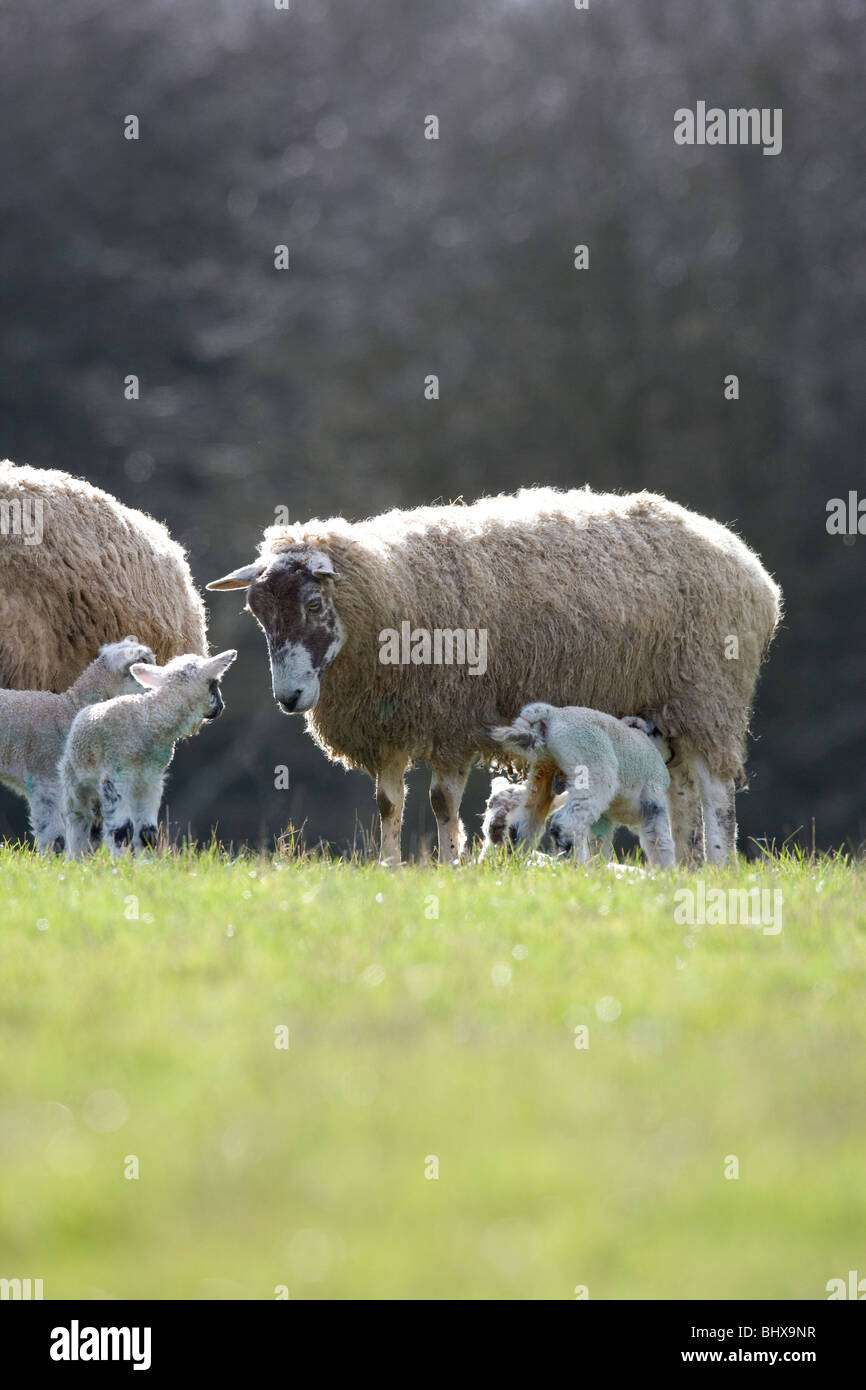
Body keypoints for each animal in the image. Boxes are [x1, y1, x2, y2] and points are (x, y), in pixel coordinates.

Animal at [59, 650, 237, 858]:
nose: (221, 707)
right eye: (214, 683)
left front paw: (146, 862)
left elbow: (147, 833)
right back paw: (75, 858)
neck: (149, 720)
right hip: (73, 776)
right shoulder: (116, 776)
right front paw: (121, 862)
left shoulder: (151, 780)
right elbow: (122, 830)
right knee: (78, 819)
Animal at [490, 706, 675, 866]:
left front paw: (599, 871)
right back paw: (573, 866)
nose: (673, 753)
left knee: (525, 822)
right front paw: (664, 874)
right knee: (565, 824)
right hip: (594, 768)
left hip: (543, 768)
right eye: (659, 732)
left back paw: (517, 859)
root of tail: (553, 713)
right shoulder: (654, 799)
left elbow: (599, 844)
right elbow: (660, 841)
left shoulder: (604, 818)